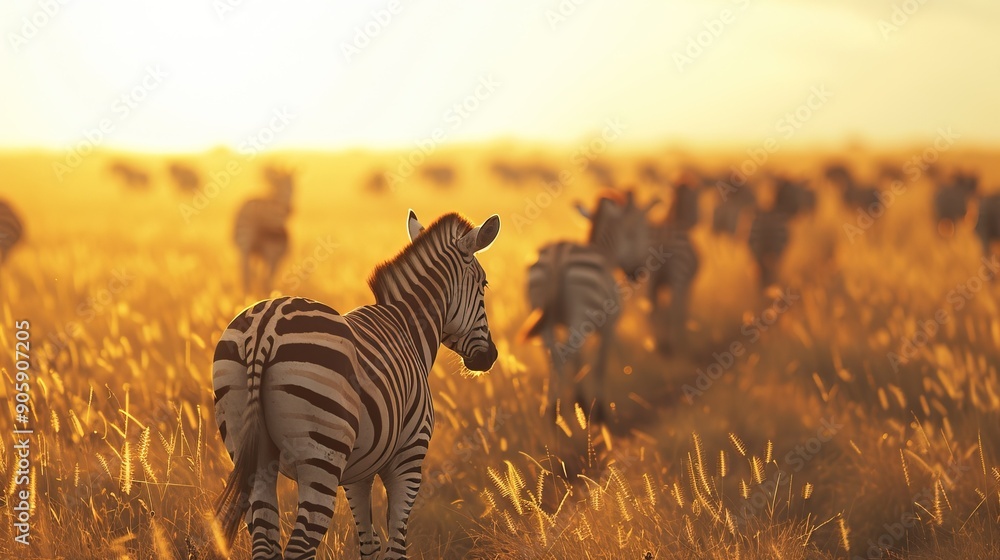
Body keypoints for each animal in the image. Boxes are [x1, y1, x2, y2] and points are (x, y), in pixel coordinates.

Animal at [213, 211, 501, 560]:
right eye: (484, 284)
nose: (490, 357)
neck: (408, 326)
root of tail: (263, 328)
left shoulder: (356, 474)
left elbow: (370, 541)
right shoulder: (408, 459)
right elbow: (395, 545)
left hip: (248, 448)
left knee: (265, 543)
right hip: (321, 456)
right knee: (299, 546)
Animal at [521, 191, 657, 423]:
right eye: (639, 230)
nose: (637, 273)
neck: (606, 253)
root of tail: (559, 253)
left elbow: (580, 361)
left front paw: (581, 403)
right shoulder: (608, 327)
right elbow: (600, 365)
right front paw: (600, 411)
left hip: (542, 315)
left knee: (553, 356)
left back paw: (552, 411)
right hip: (580, 314)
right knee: (563, 353)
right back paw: (556, 411)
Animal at [648, 182, 700, 354]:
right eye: (696, 199)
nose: (696, 219)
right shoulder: (688, 285)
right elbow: (683, 312)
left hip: (651, 280)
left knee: (653, 308)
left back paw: (658, 343)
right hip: (679, 278)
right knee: (673, 309)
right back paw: (671, 345)